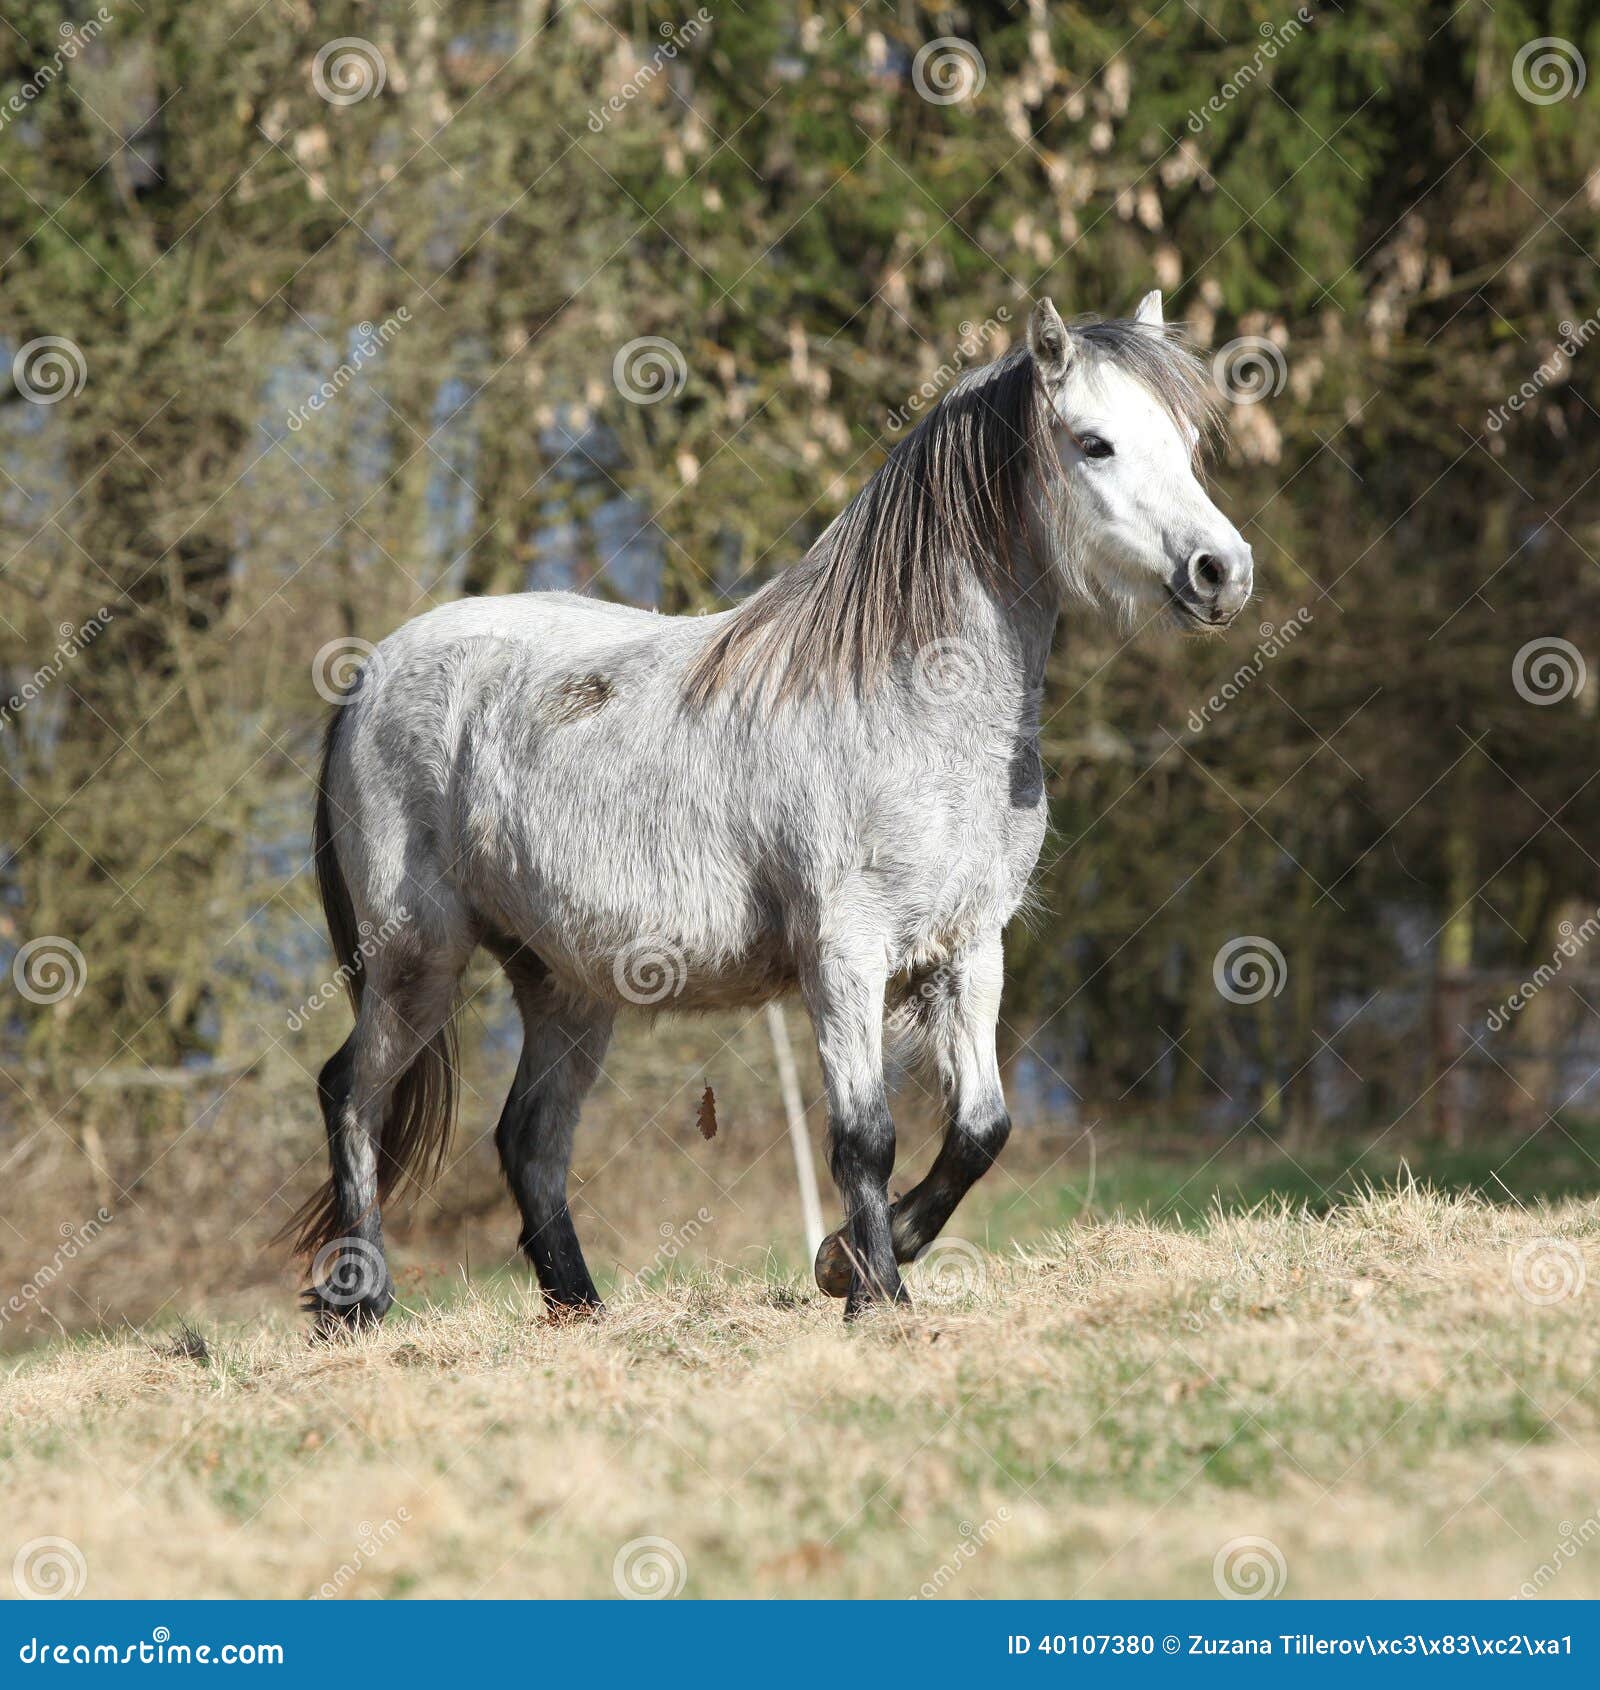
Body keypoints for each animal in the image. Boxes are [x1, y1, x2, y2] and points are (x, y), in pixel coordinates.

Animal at [287, 290, 1253, 1328]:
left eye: (1187, 441)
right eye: (1094, 443)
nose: (1222, 571)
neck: (908, 704)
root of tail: (371, 673)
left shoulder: (970, 945)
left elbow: (980, 1130)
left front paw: (844, 1264)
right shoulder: (844, 954)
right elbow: (865, 1137)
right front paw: (876, 1297)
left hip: (566, 983)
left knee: (527, 1138)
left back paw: (580, 1307)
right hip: (415, 956)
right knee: (352, 1094)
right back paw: (361, 1300)